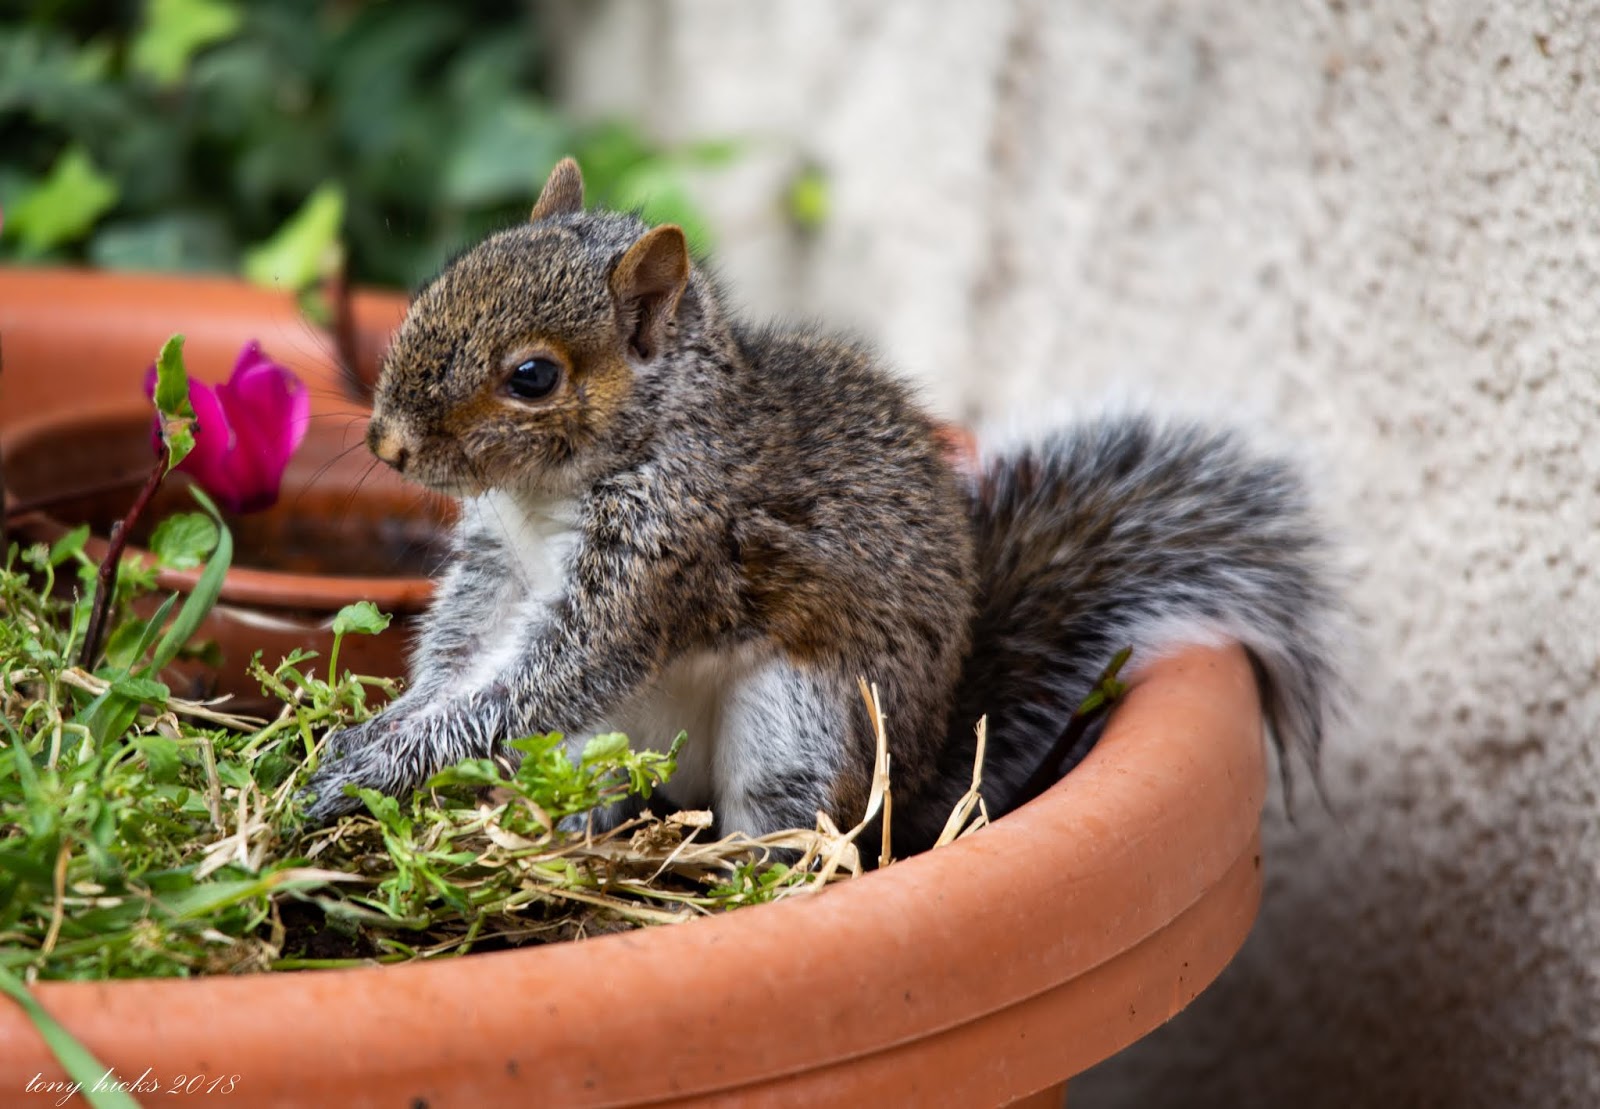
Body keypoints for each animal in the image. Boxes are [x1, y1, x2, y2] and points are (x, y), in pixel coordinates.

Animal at [301, 158, 1342, 856]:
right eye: (448, 274)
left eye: (532, 377)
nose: (387, 443)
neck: (543, 496)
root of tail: (923, 778)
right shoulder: (495, 567)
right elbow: (461, 658)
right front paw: (373, 732)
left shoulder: (662, 554)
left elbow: (547, 675)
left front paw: (373, 768)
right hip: (617, 746)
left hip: (799, 725)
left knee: (792, 824)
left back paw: (732, 871)